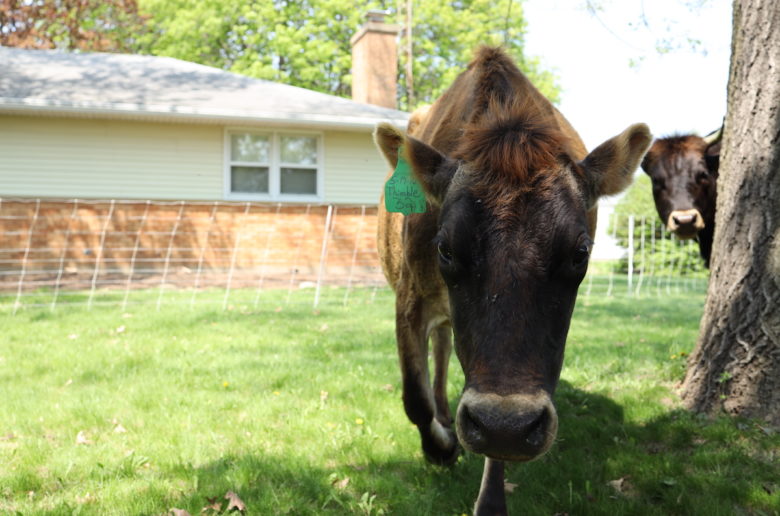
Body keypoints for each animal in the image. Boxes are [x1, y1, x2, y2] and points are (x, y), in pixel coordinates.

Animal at [374, 46, 652, 515]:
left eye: (581, 252)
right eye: (445, 248)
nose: (505, 425)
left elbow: (493, 448)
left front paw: (488, 496)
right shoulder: (408, 298)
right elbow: (414, 397)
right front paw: (440, 448)